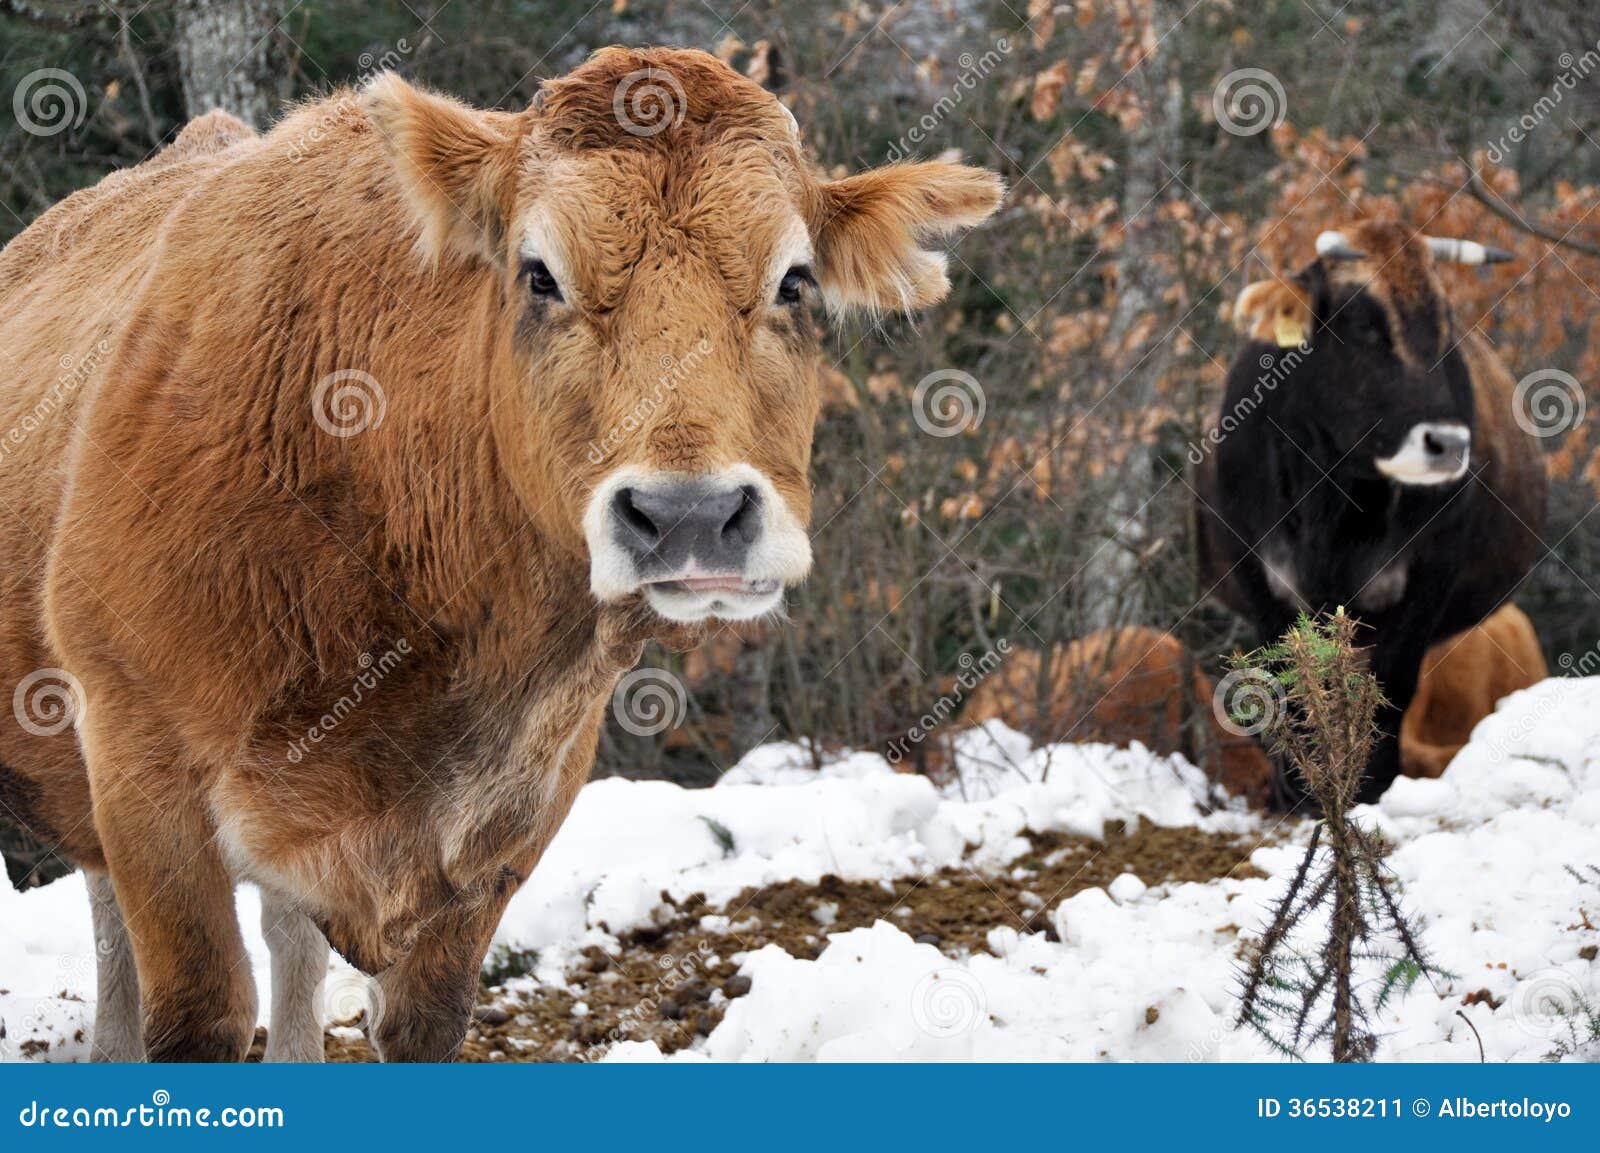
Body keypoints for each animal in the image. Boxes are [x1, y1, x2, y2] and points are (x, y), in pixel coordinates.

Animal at [0, 47, 1002, 1061]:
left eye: (795, 280)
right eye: (538, 274)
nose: (688, 513)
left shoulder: (518, 806)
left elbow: (423, 1019)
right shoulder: (141, 758)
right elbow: (196, 1013)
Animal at [1196, 220, 1547, 808]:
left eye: (1442, 326)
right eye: (1362, 322)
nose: (1448, 443)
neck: (1332, 503)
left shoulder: (1428, 577)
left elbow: (1391, 683)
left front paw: (1370, 788)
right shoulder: (1260, 579)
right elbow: (1288, 681)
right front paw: (1300, 791)